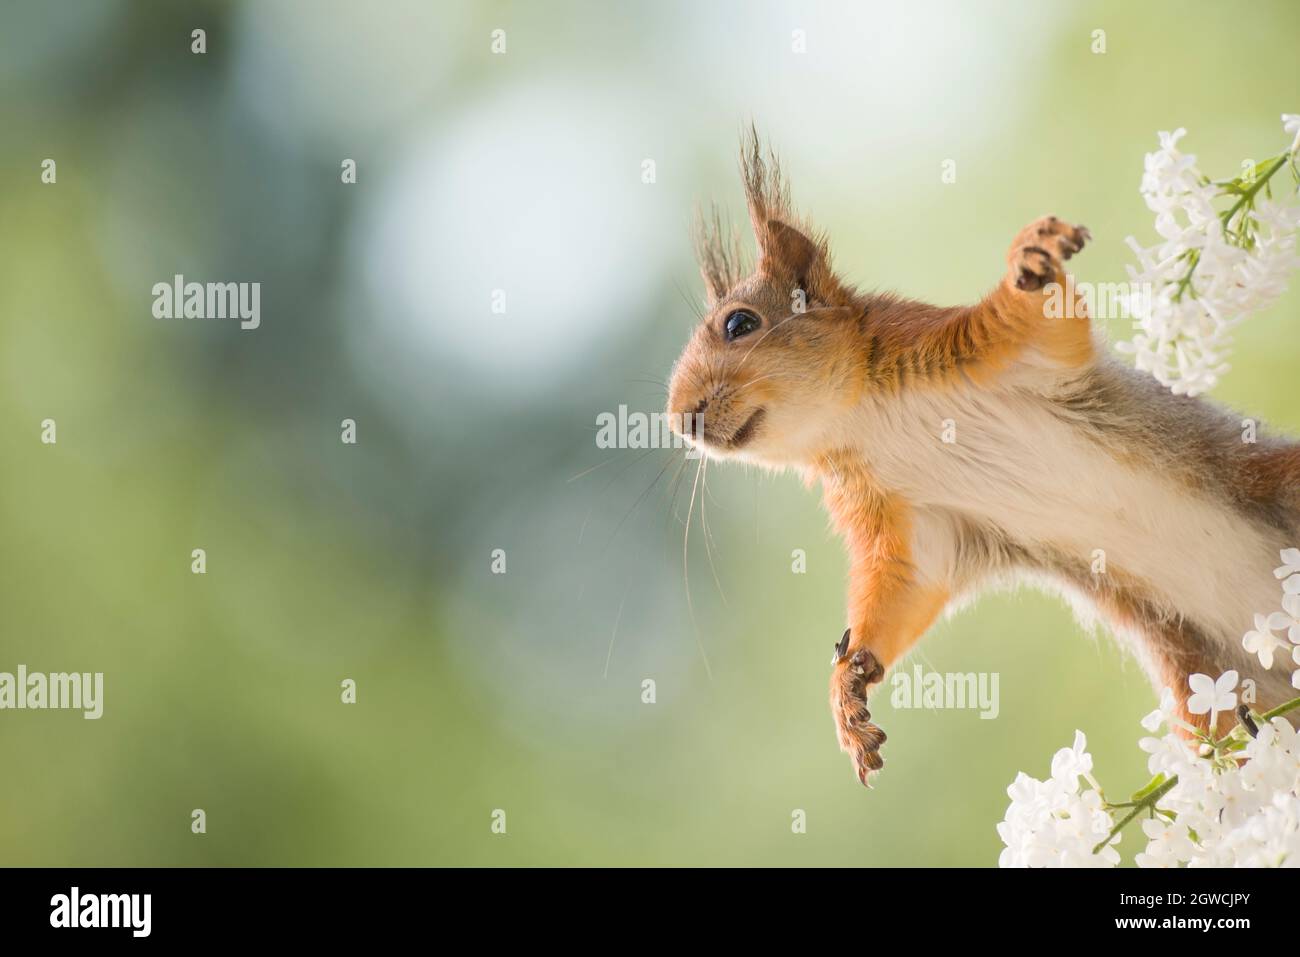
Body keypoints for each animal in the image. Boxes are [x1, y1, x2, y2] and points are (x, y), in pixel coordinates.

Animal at [666, 132, 1300, 787]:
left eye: (741, 323)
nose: (679, 419)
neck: (859, 418)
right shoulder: (909, 519)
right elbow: (906, 582)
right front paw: (848, 688)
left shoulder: (970, 344)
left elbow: (1039, 322)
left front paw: (1030, 258)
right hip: (1204, 675)